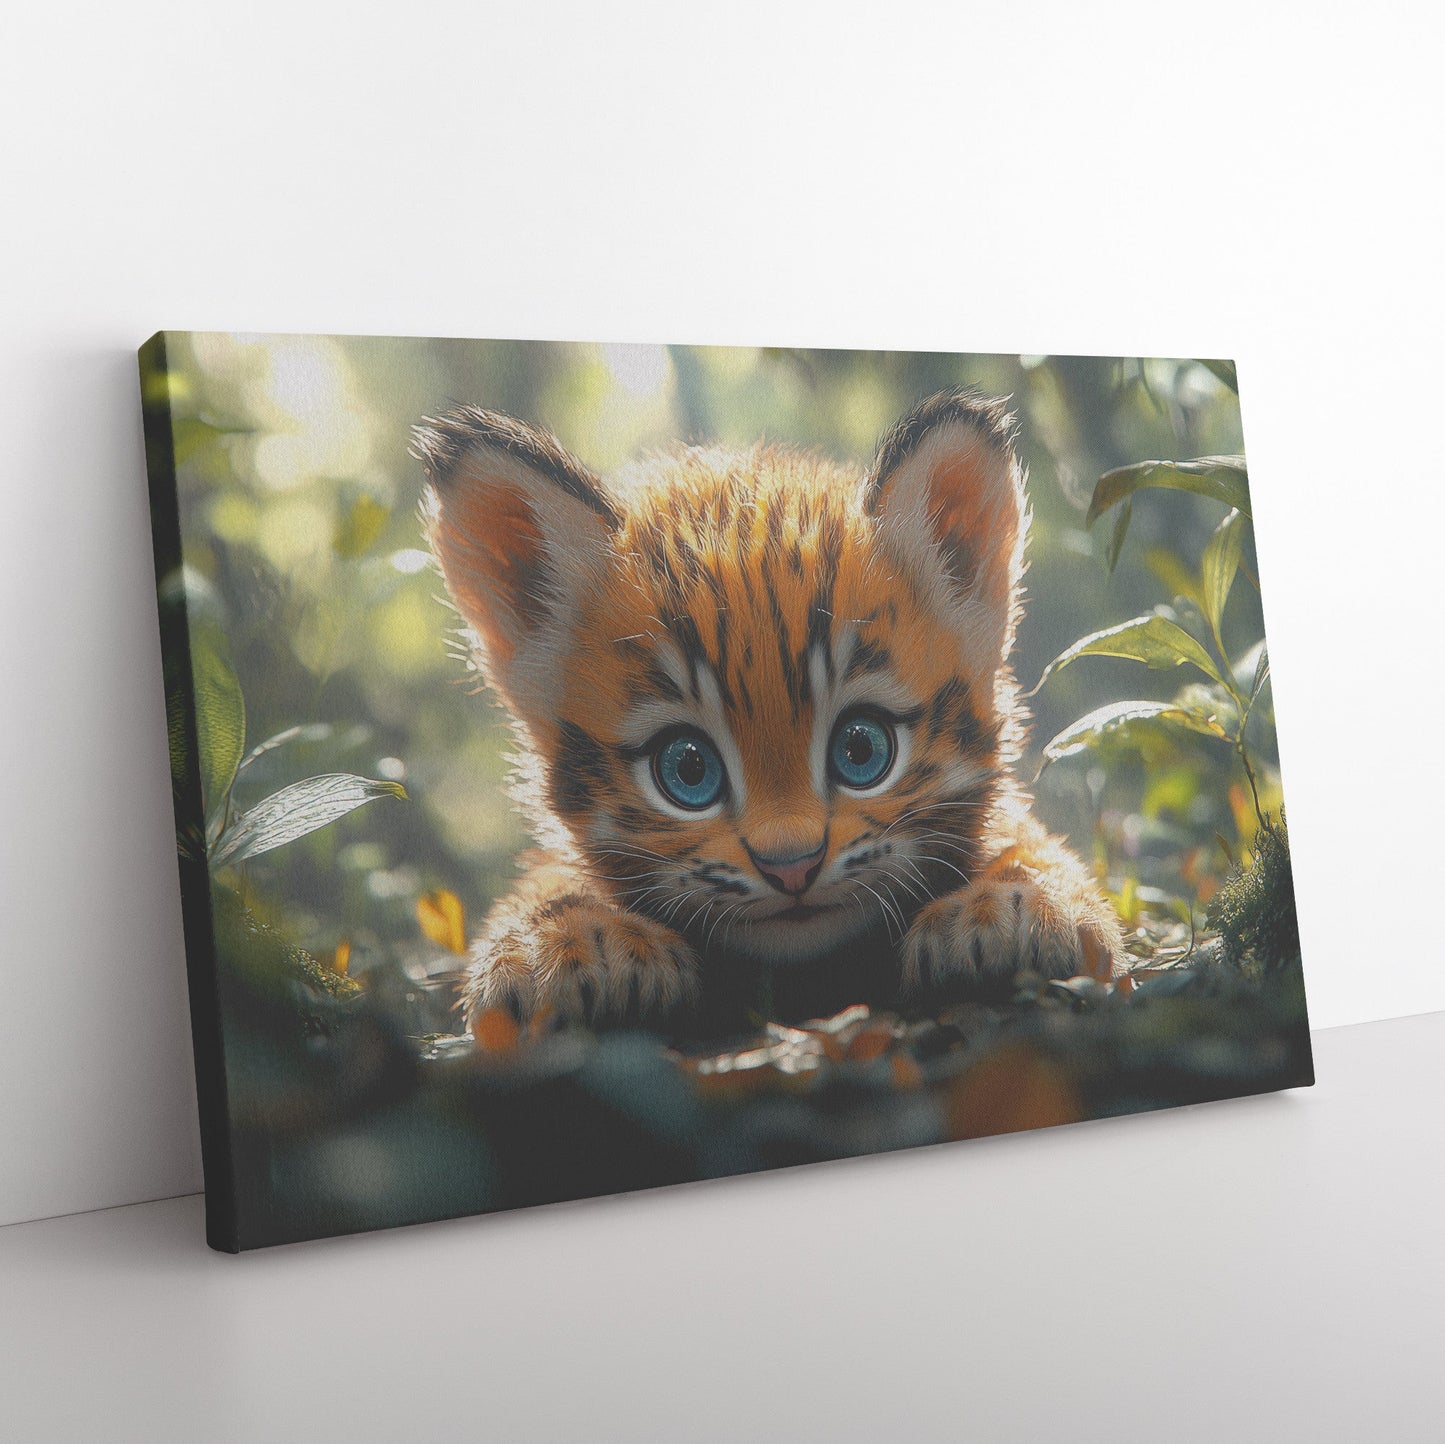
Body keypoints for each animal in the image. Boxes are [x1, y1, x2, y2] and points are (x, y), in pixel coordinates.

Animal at [415, 388, 1123, 1038]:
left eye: (861, 751)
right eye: (688, 770)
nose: (792, 867)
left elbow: (1023, 838)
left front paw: (1013, 899)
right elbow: (553, 875)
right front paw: (574, 939)